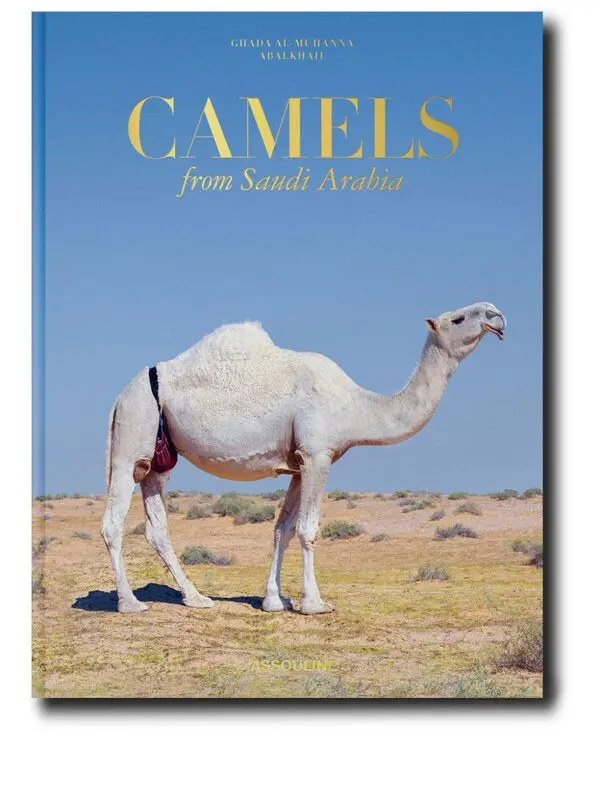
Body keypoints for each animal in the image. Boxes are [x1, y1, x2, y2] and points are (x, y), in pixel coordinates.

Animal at [102, 301, 506, 614]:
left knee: (157, 526)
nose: (497, 315)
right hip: (131, 438)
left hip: (158, 459)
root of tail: (119, 396)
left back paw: (196, 598)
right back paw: (130, 603)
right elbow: (308, 529)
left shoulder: (298, 463)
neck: (355, 406)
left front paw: (274, 601)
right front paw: (314, 603)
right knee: (113, 522)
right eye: (459, 318)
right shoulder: (317, 454)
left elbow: (281, 528)